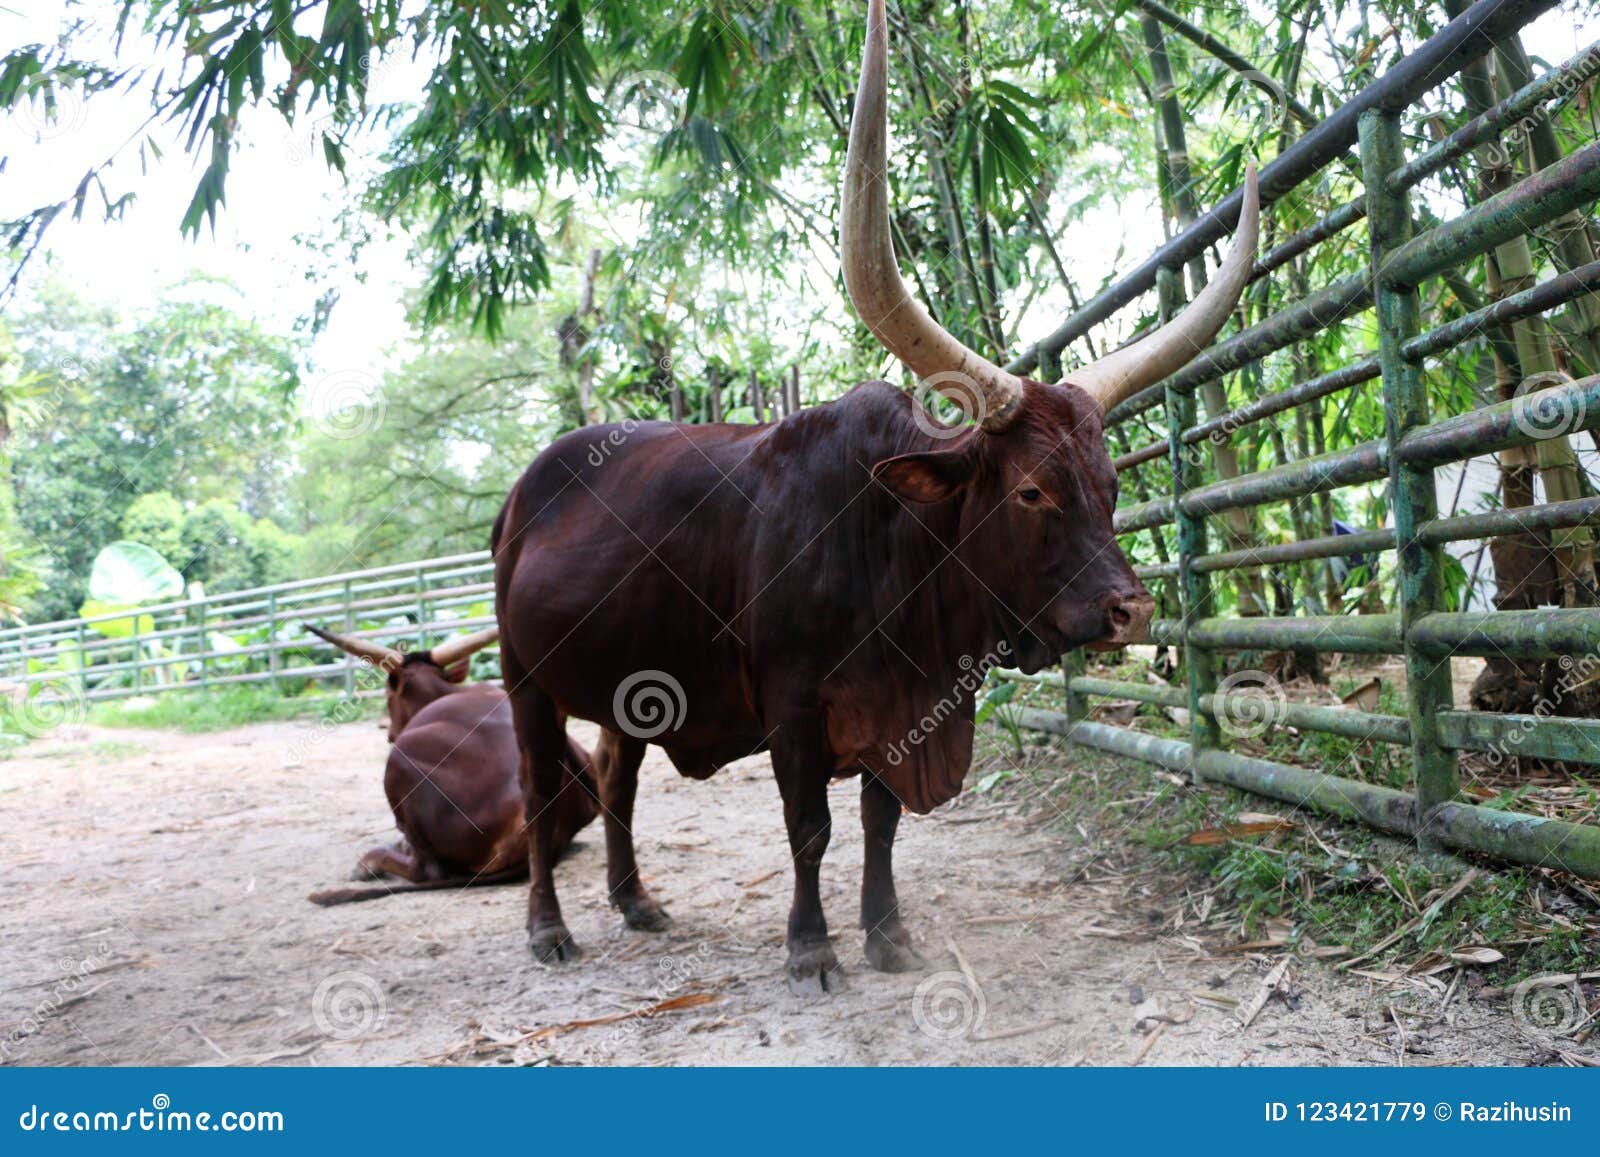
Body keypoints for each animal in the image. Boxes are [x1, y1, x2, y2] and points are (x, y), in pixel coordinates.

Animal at [491, 0, 1259, 992]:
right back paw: (549, 928)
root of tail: (524, 494)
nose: (1130, 610)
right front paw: (812, 945)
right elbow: (810, 828)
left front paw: (887, 935)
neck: (895, 547)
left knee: (617, 774)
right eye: (1031, 492)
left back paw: (636, 901)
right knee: (542, 791)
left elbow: (879, 824)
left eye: (1111, 483)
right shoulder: (793, 712)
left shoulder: (905, 713)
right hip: (522, 681)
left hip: (631, 682)